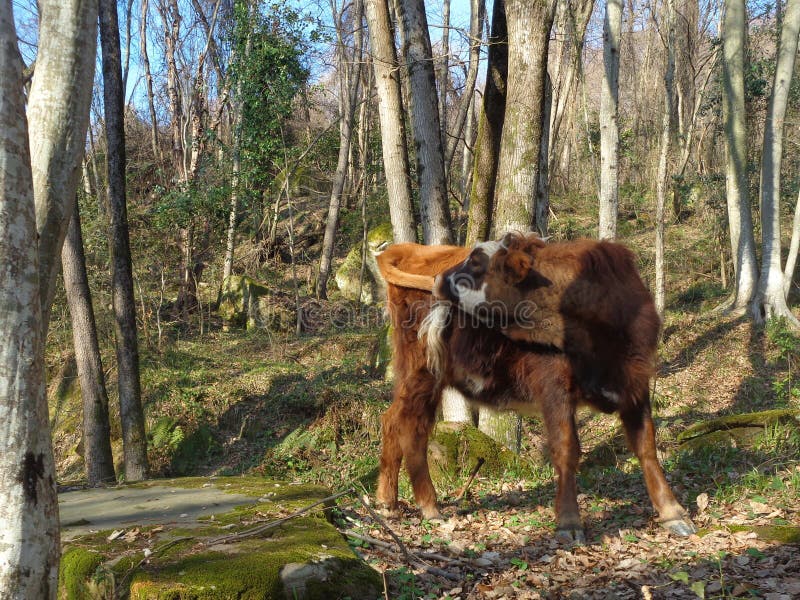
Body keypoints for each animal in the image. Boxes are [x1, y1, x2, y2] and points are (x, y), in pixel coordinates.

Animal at [375, 236, 695, 542]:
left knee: (393, 420)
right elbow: (566, 448)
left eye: (476, 262)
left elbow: (646, 446)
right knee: (412, 429)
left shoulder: (635, 384)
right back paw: (428, 505)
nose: (439, 279)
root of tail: (412, 249)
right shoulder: (555, 388)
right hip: (424, 373)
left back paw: (388, 502)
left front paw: (672, 511)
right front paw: (569, 521)